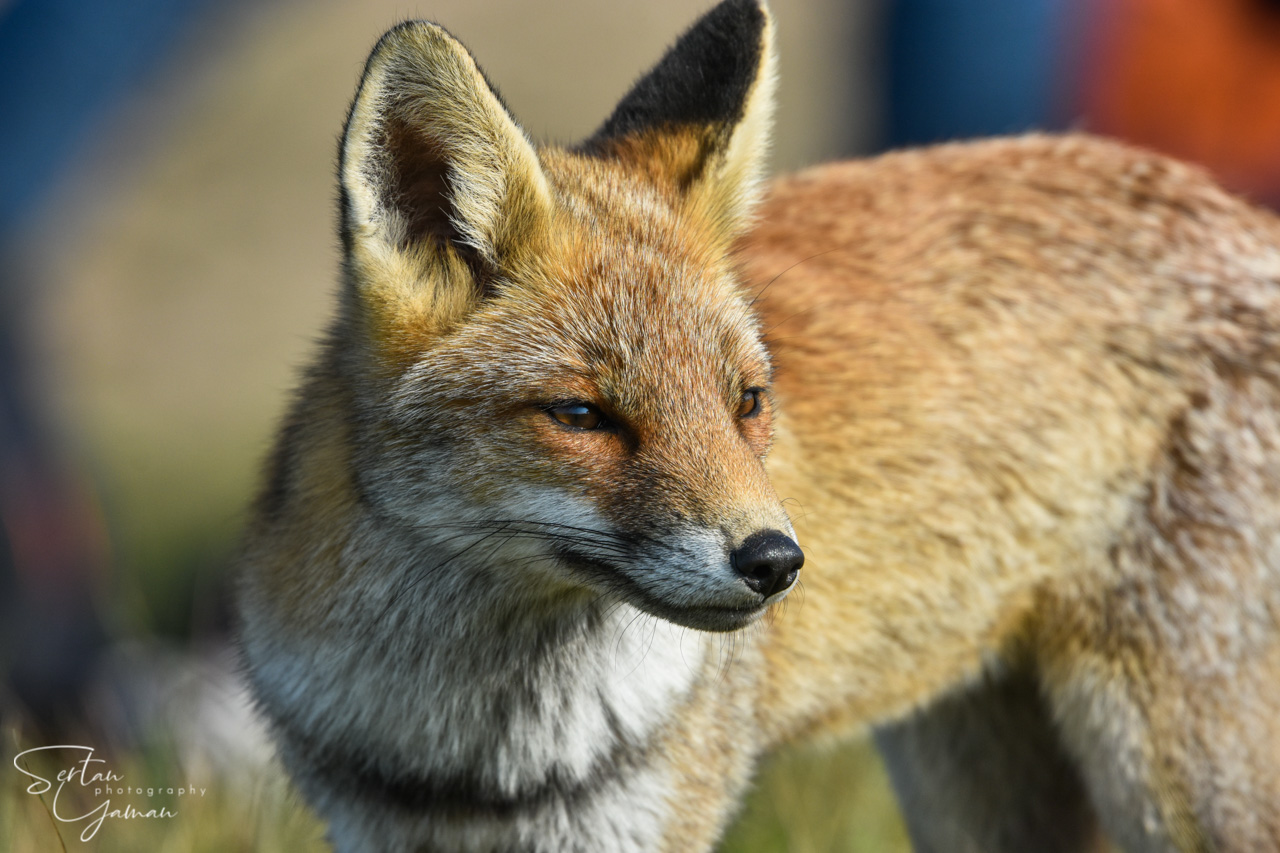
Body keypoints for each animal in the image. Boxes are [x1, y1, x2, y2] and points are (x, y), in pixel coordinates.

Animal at [235, 0, 1280, 850]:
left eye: (746, 401)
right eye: (582, 415)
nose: (775, 560)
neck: (475, 755)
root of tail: (1231, 209)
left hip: (1173, 775)